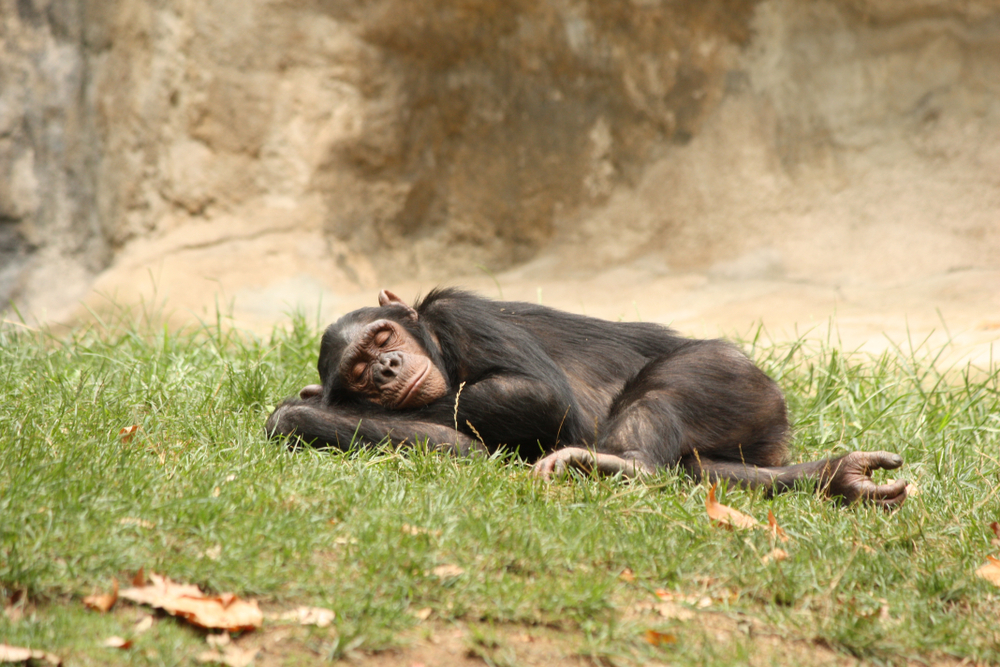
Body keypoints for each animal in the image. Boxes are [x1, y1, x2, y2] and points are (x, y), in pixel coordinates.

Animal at [266, 288, 908, 506]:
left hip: (728, 374)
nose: (386, 369)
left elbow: (536, 395)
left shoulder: (461, 314)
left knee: (663, 398)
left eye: (382, 338)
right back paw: (839, 477)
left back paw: (617, 463)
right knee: (709, 471)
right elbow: (457, 446)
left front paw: (310, 405)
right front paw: (315, 409)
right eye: (359, 369)